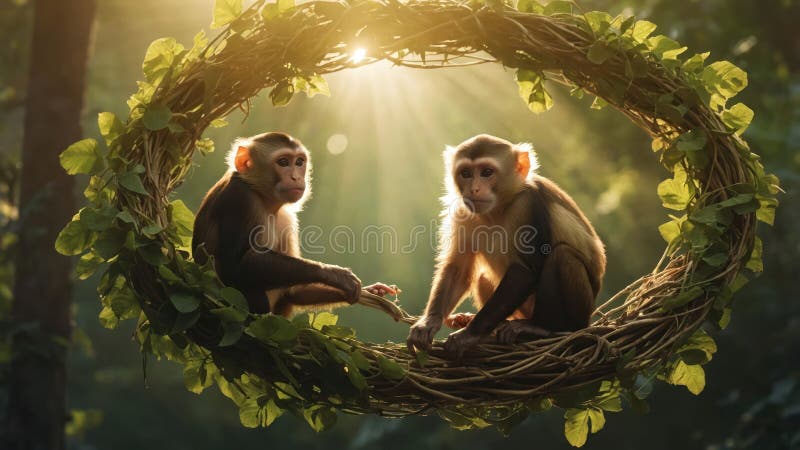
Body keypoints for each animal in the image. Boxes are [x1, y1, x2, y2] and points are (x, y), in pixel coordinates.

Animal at [192, 131, 396, 317]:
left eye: (299, 162)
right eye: (283, 162)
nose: (296, 177)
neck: (264, 199)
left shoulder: (286, 218)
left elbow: (293, 292)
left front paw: (370, 292)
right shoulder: (239, 197)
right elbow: (234, 268)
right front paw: (334, 274)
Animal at [406, 134, 606, 358]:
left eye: (487, 172)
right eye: (466, 173)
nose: (474, 189)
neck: (498, 209)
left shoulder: (527, 204)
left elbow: (524, 271)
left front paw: (469, 334)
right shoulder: (464, 212)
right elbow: (458, 270)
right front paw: (429, 322)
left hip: (577, 315)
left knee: (563, 256)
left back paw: (541, 328)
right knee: (483, 278)